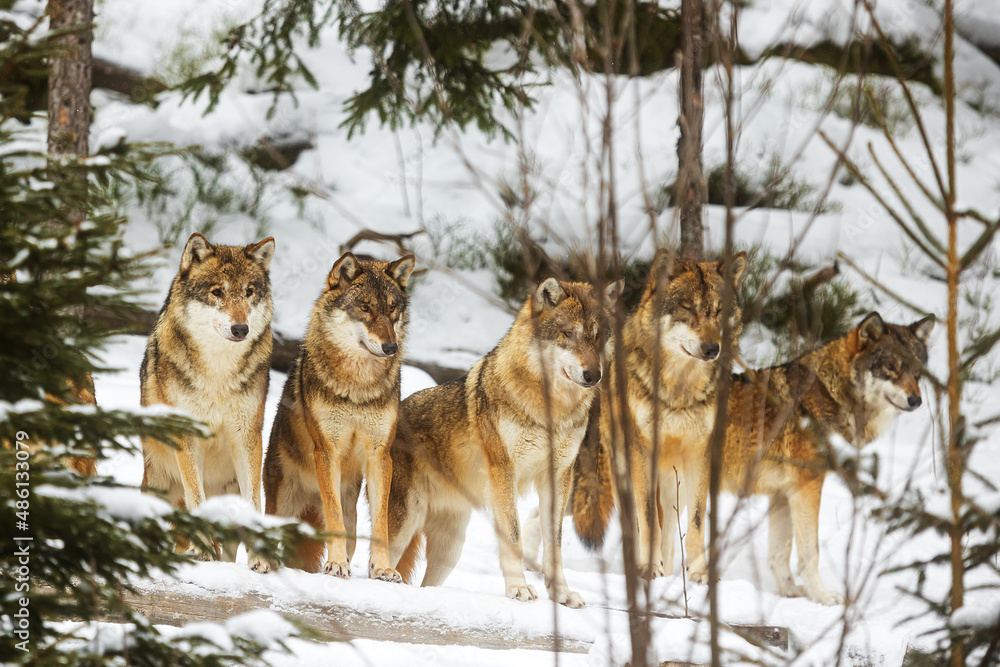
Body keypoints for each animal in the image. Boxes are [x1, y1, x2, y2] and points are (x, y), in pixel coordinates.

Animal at [140, 232, 275, 569]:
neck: (218, 372)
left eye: (249, 292)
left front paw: (261, 559)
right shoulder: (187, 437)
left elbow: (255, 504)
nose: (241, 328)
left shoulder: (247, 437)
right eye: (217, 292)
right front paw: (202, 550)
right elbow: (196, 497)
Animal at [263, 251, 415, 582]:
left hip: (352, 518)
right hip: (278, 503)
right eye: (365, 307)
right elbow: (332, 514)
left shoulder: (380, 455)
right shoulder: (326, 450)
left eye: (392, 309)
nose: (391, 347)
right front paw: (335, 565)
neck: (357, 387)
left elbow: (381, 523)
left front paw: (382, 568)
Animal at [387, 277, 622, 608]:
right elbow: (513, 537)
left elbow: (554, 544)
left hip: (450, 550)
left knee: (426, 583)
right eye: (568, 334)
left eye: (598, 337)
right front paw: (518, 589)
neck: (551, 411)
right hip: (404, 527)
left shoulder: (558, 477)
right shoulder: (503, 473)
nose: (594, 375)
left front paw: (561, 594)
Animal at [569, 249, 747, 581]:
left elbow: (697, 521)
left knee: (670, 528)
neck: (679, 390)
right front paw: (648, 567)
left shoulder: (700, 454)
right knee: (638, 521)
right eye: (687, 307)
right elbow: (648, 518)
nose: (712, 348)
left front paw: (700, 573)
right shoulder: (641, 453)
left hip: (675, 481)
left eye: (718, 311)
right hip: (624, 470)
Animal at [685, 311, 934, 605]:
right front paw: (822, 597)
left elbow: (780, 553)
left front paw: (790, 592)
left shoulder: (782, 494)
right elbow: (809, 554)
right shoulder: (808, 485)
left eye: (917, 373)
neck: (831, 392)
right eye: (891, 367)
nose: (916, 400)